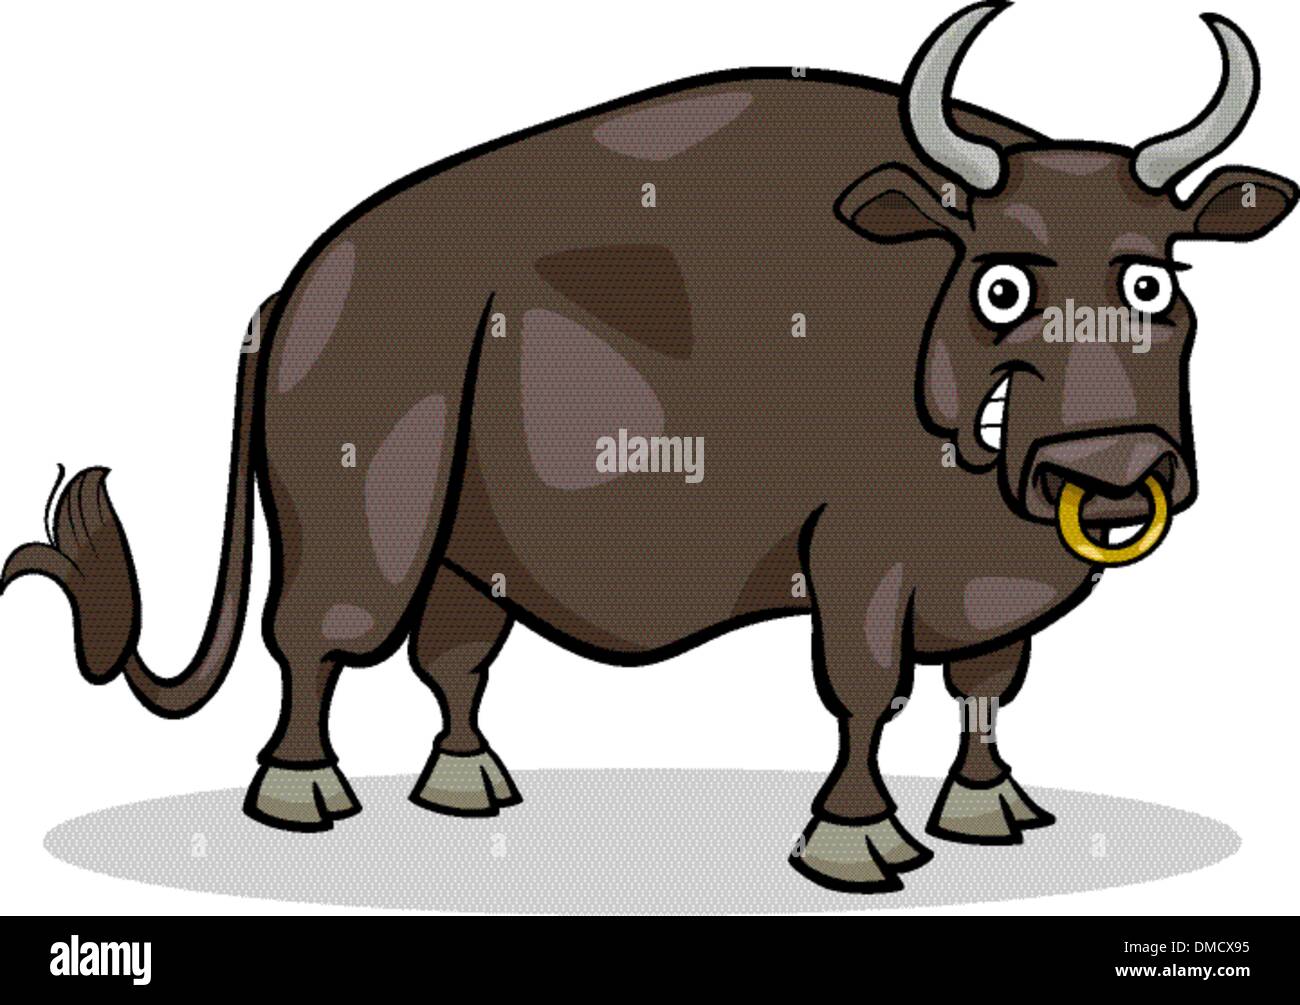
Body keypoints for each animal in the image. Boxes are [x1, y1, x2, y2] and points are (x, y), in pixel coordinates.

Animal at [3, 2, 1294, 893]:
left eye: (1155, 279)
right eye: (1001, 284)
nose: (1111, 475)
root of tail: (301, 286)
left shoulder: (989, 593)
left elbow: (985, 688)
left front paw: (990, 810)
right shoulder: (857, 565)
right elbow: (864, 693)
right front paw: (856, 839)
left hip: (468, 557)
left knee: (454, 659)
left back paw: (468, 786)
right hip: (365, 530)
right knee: (315, 641)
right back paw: (302, 793)